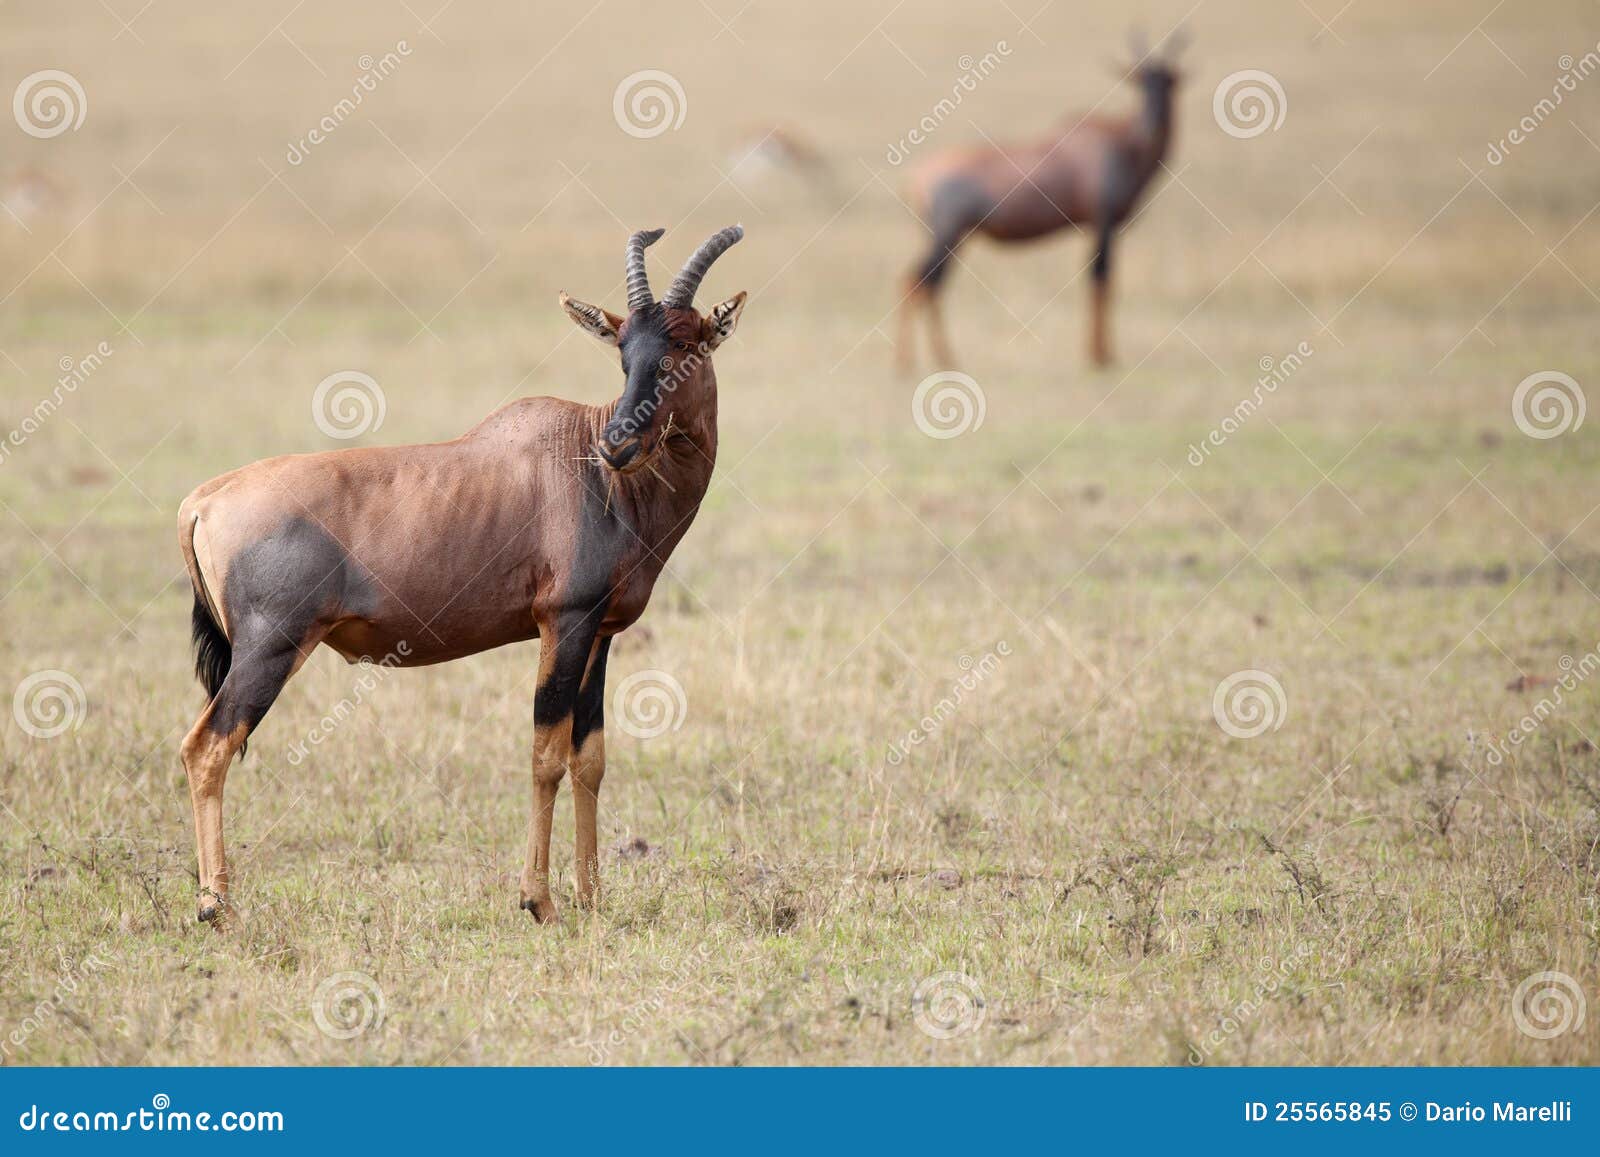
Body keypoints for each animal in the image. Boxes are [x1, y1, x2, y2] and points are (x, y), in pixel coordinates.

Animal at [177, 226, 746, 926]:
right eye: (624, 353)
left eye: (684, 344)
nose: (617, 445)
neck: (586, 465)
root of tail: (204, 499)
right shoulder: (562, 623)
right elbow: (546, 754)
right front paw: (539, 902)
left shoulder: (601, 633)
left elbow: (589, 757)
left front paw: (591, 899)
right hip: (268, 650)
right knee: (206, 748)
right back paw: (217, 907)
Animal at [895, 32, 1185, 371]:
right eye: (1140, 81)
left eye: (1168, 81)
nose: (1153, 123)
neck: (1119, 141)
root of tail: (918, 177)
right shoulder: (1103, 222)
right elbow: (1100, 278)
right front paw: (1100, 358)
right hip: (947, 234)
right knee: (923, 282)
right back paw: (933, 361)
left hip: (954, 238)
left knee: (919, 282)